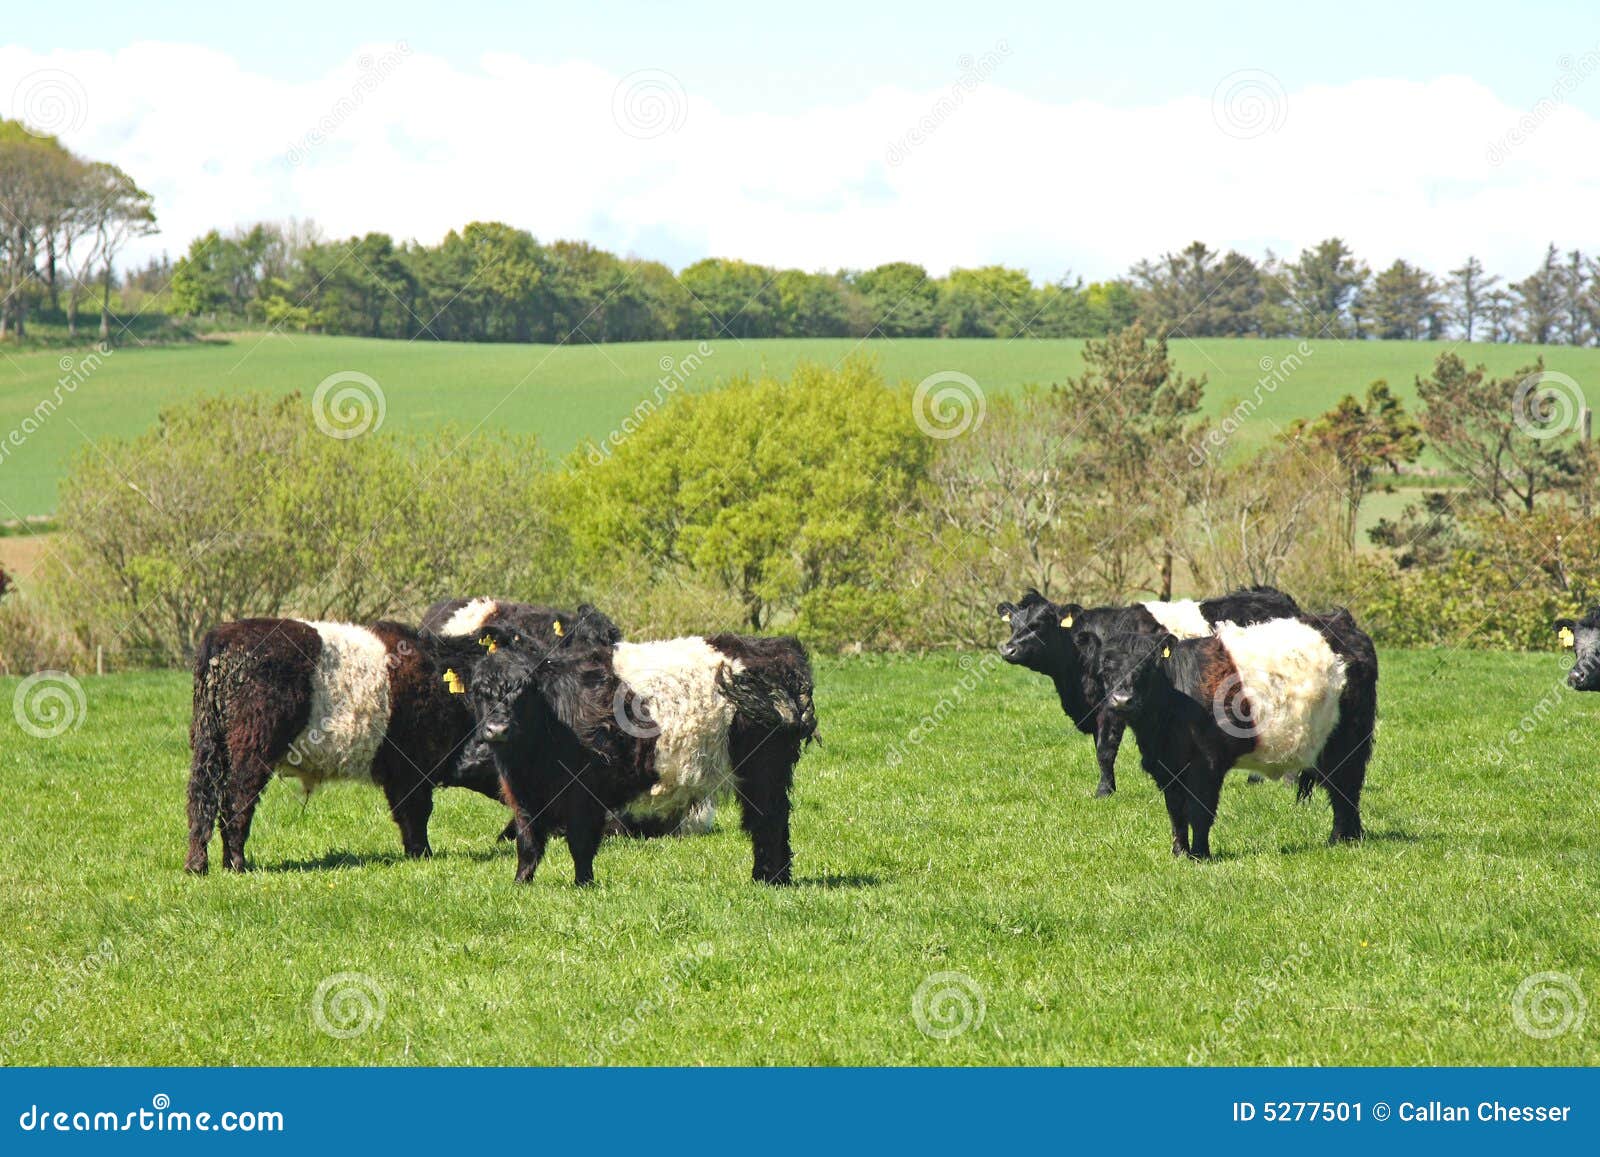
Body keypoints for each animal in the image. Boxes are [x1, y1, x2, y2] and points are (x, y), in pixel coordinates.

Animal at [183, 603, 614, 874]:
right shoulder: (412, 767)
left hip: (208, 744)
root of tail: (223, 638)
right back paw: (236, 864)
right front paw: (422, 855)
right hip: (251, 749)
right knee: (236, 801)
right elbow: (416, 814)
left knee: (201, 801)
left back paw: (197, 865)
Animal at [438, 627, 816, 886]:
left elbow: (580, 841)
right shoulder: (524, 796)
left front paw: (583, 885)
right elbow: (528, 842)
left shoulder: (583, 793)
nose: (497, 729)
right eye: (480, 692)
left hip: (764, 771)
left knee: (768, 822)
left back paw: (769, 880)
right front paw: (521, 884)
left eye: (522, 692)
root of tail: (779, 651)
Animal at [995, 586, 1301, 796]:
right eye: (1013, 625)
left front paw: (1103, 792)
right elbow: (1099, 748)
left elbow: (1105, 750)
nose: (1007, 649)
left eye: (1038, 625)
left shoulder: (1112, 704)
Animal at [1093, 609, 1378, 858]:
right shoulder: (1169, 766)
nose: (1122, 700)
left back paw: (1343, 838)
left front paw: (1201, 855)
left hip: (1348, 742)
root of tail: (1343, 621)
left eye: (1147, 668)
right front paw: (1179, 852)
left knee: (1347, 788)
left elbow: (1200, 811)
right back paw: (1349, 837)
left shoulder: (1206, 764)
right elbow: (1176, 812)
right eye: (1106, 670)